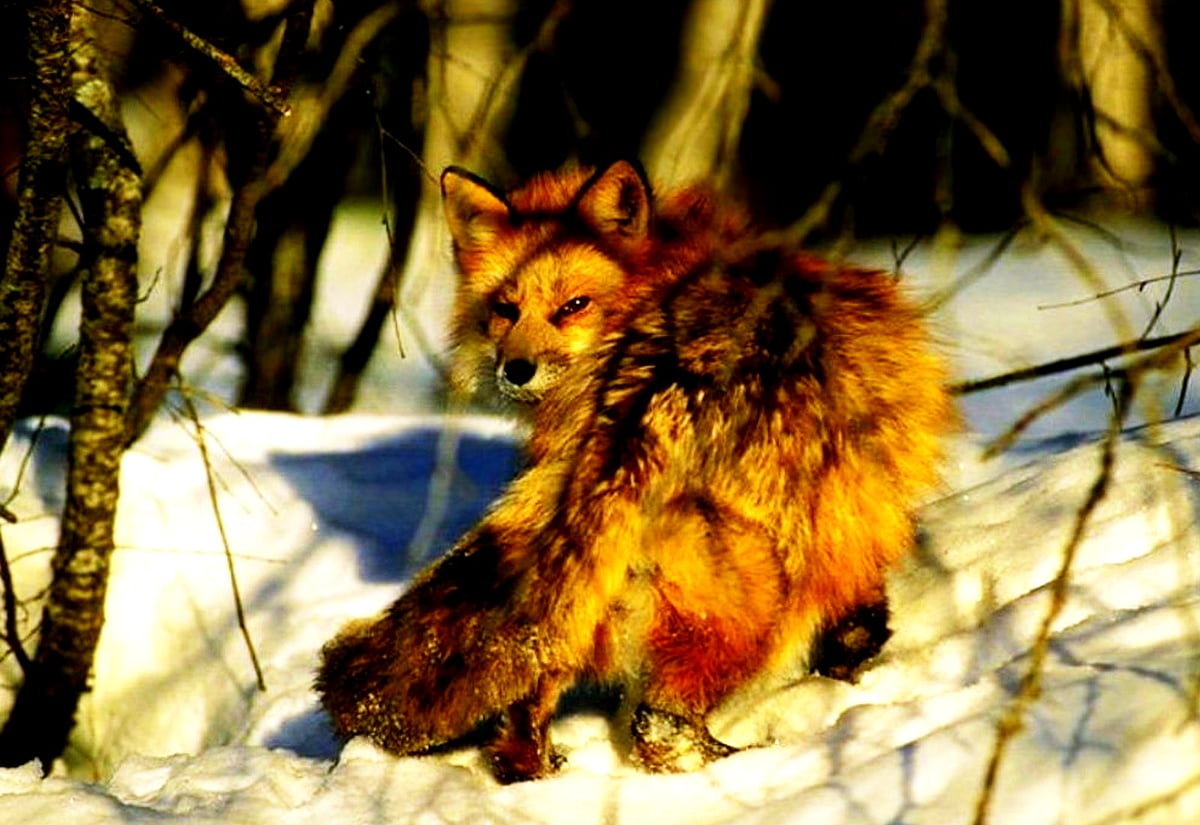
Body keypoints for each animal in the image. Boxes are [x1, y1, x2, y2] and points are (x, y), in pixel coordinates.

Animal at [316, 160, 956, 782]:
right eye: (506, 308)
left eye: (573, 306)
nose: (515, 369)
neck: (667, 274)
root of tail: (658, 385)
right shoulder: (851, 510)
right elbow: (860, 604)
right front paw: (855, 653)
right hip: (751, 598)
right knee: (661, 728)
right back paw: (753, 760)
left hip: (583, 592)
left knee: (529, 704)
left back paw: (539, 770)